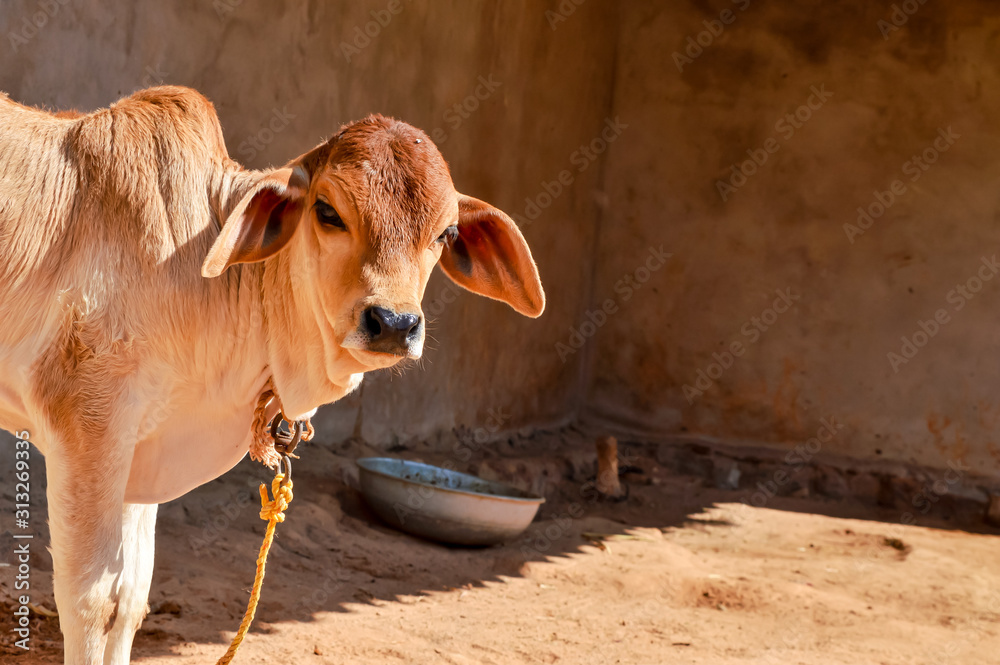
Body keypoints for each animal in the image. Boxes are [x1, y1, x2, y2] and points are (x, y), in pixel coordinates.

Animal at [0, 85, 545, 665]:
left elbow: (129, 599)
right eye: (327, 211)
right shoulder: (88, 429)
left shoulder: (140, 452)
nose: (395, 324)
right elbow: (91, 601)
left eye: (446, 232)